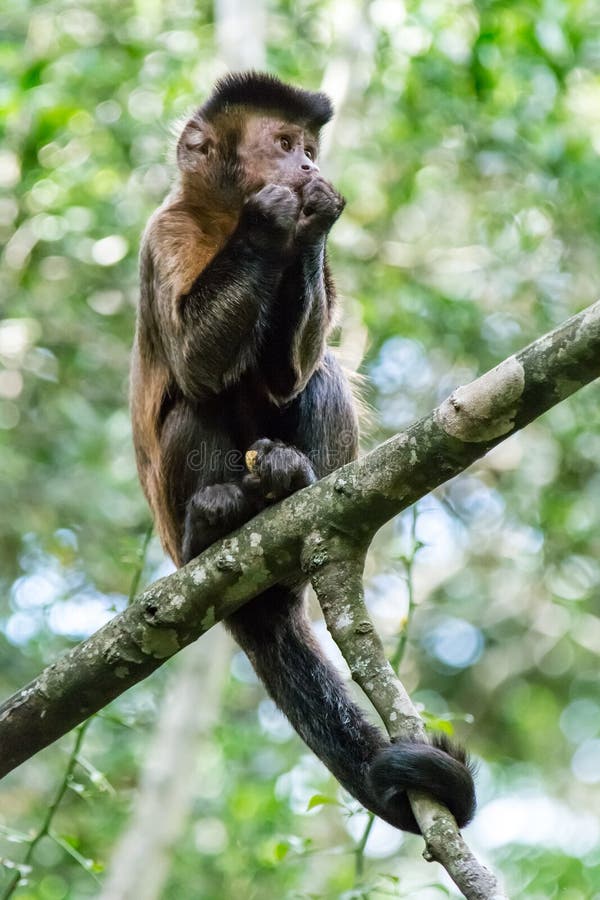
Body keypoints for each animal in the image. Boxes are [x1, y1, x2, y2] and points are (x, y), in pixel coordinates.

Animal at [130, 71, 476, 834]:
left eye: (310, 148)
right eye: (285, 143)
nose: (309, 167)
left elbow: (289, 375)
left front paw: (313, 223)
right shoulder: (163, 233)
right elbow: (197, 365)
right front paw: (274, 220)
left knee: (319, 377)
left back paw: (289, 486)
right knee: (196, 400)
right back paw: (214, 526)